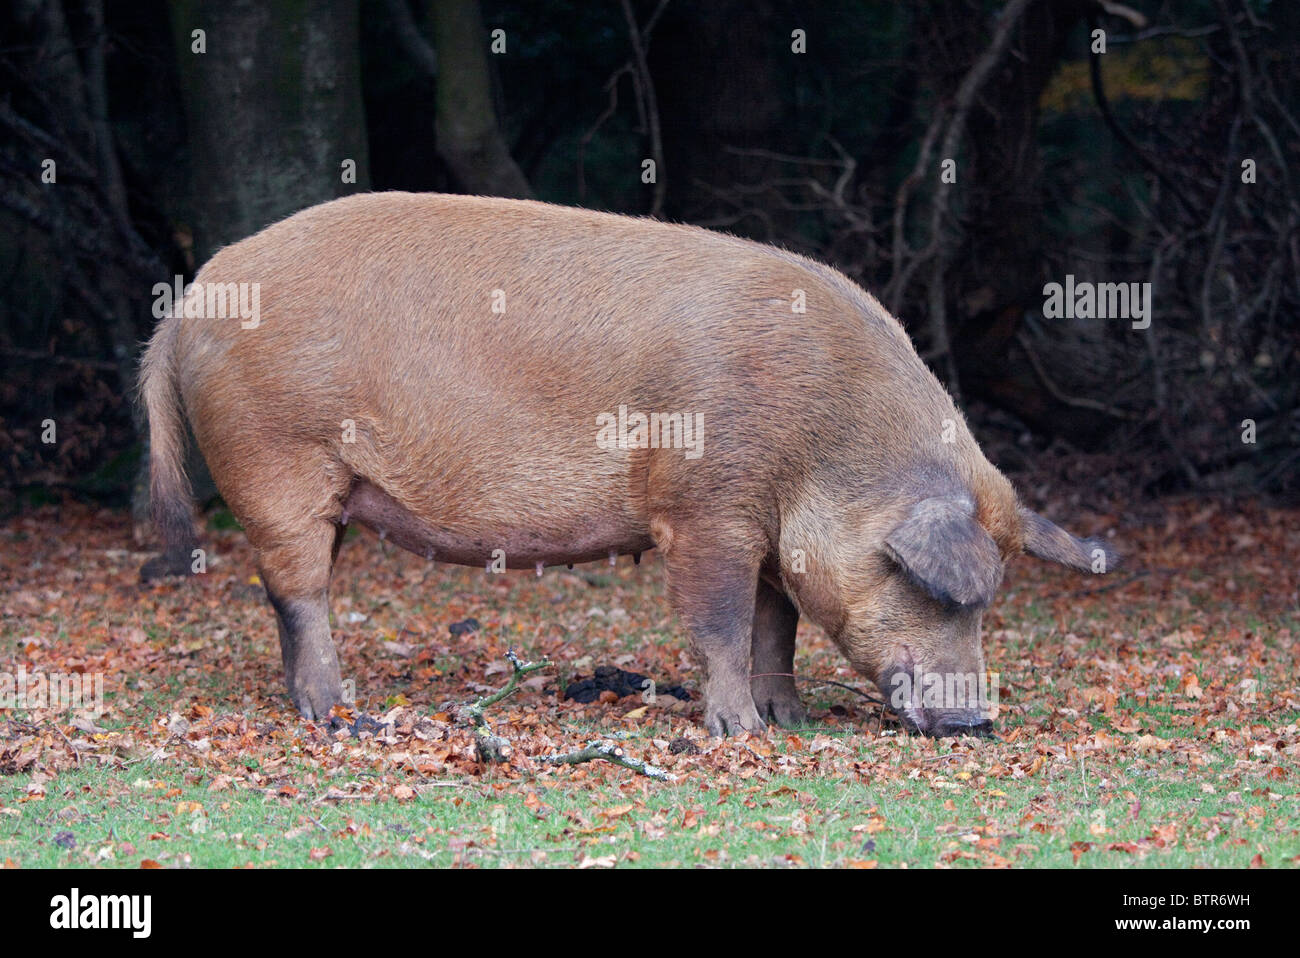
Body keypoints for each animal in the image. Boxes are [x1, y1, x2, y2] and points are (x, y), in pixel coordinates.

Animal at [139, 192, 1116, 736]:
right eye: (936, 591)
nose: (973, 721)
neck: (821, 447)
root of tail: (192, 299)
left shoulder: (773, 536)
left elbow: (778, 627)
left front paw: (794, 722)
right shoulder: (706, 508)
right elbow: (722, 622)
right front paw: (738, 734)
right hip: (275, 462)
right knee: (298, 590)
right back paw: (339, 715)